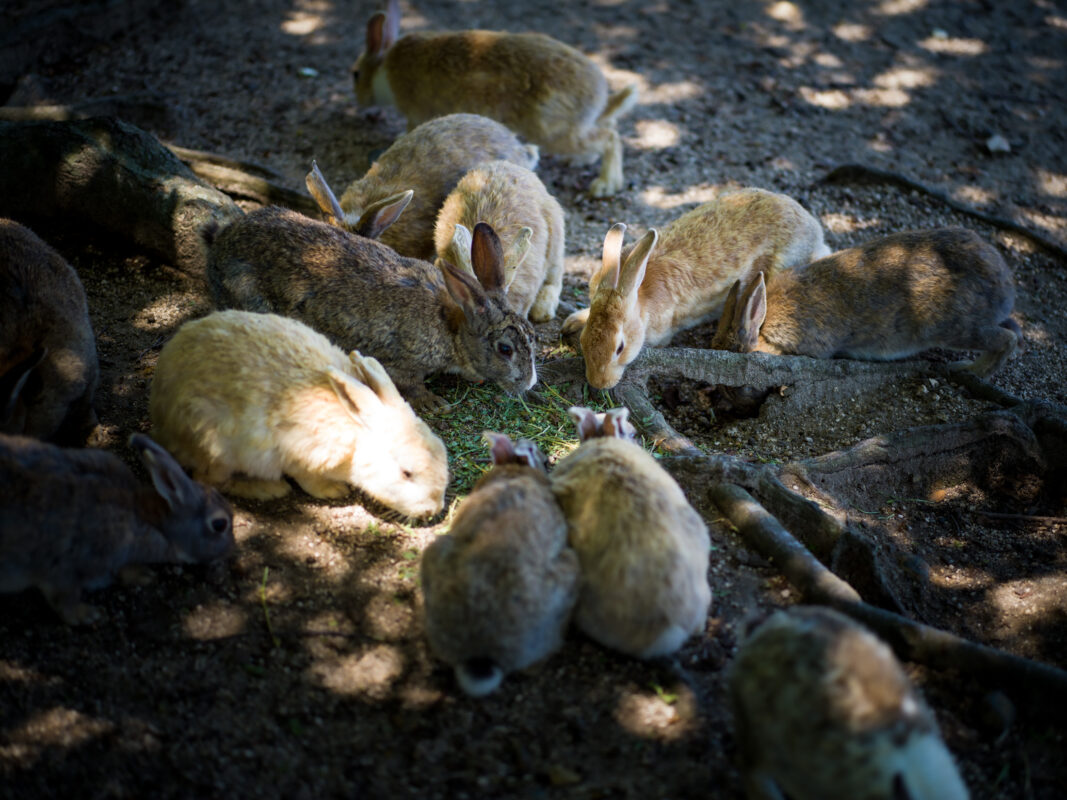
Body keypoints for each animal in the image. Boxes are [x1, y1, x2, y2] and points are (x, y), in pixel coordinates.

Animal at [0, 431, 234, 625]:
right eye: (219, 524)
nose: (231, 549)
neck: (154, 523)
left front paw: (143, 576)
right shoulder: (68, 568)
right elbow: (65, 600)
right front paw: (89, 615)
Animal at [149, 310, 450, 518]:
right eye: (407, 473)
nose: (433, 510)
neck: (356, 437)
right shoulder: (299, 454)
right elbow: (309, 481)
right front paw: (334, 491)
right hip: (215, 444)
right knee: (208, 480)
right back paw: (270, 489)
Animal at [206, 194, 538, 412]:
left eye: (533, 336)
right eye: (505, 350)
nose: (529, 384)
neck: (451, 323)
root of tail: (223, 242)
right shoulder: (402, 362)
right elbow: (411, 384)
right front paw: (434, 403)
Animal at [352, 0, 638, 197]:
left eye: (355, 75)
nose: (358, 99)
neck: (383, 67)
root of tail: (599, 95)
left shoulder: (415, 112)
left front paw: (399, 138)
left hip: (553, 131)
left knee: (610, 138)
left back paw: (604, 185)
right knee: (607, 127)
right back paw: (582, 162)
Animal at [562, 188, 830, 389]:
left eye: (620, 348)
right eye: (584, 339)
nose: (598, 383)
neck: (638, 301)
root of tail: (813, 228)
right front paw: (572, 322)